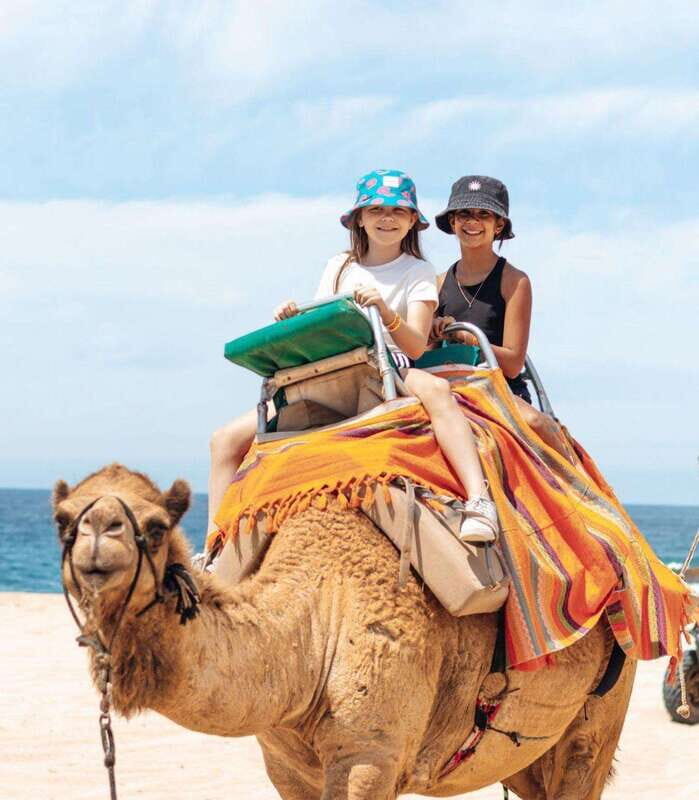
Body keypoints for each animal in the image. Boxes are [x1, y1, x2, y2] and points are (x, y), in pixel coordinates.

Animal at [55, 463, 637, 800]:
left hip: (601, 716)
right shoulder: (287, 767)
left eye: (155, 527)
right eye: (63, 520)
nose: (99, 534)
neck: (316, 624)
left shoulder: (370, 755)